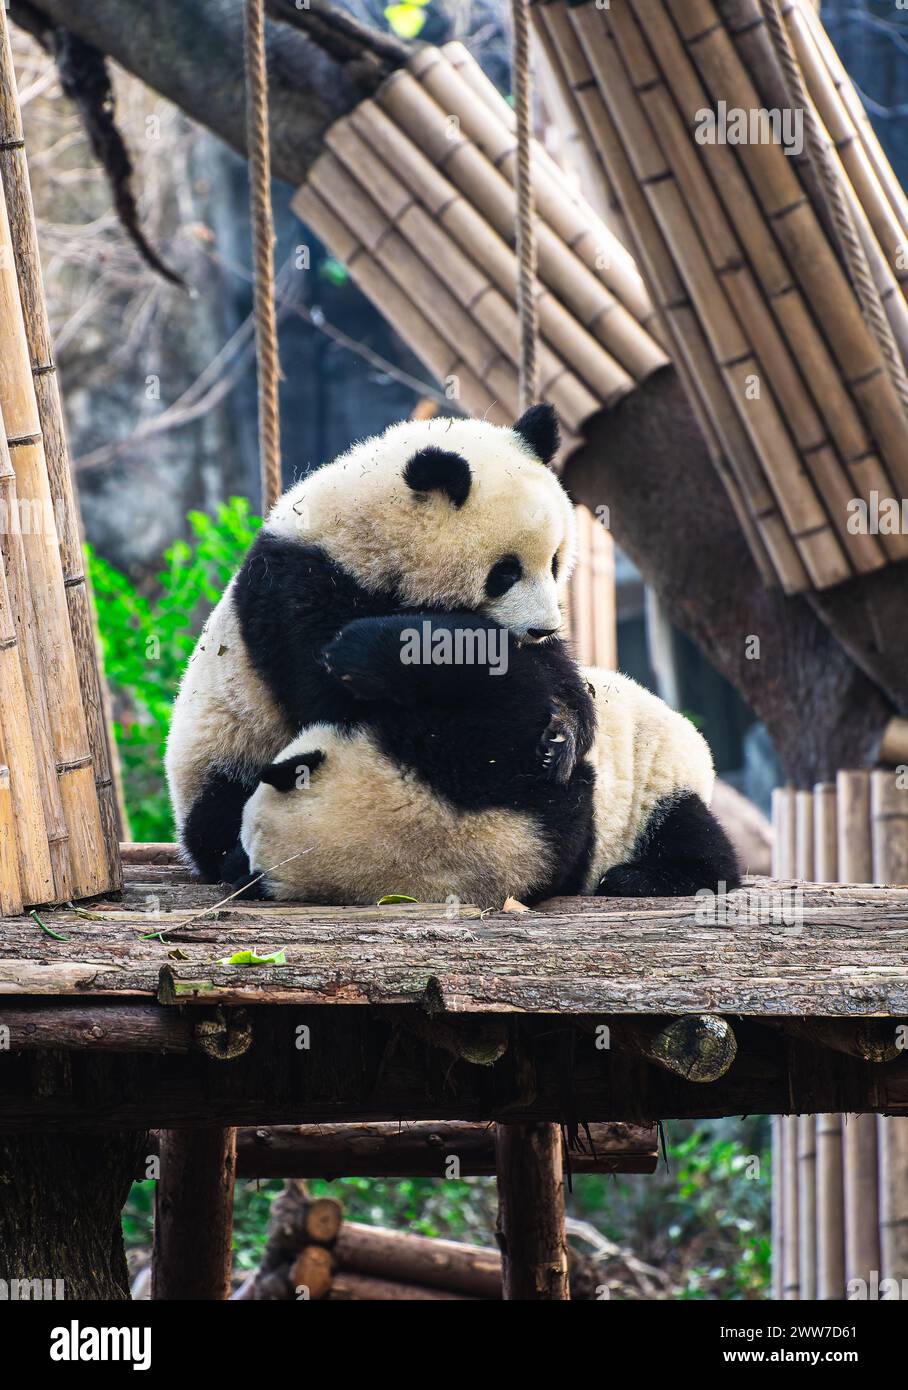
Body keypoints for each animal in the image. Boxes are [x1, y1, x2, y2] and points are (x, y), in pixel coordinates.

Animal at [166, 404, 577, 882]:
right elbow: (343, 701)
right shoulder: (299, 591)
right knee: (218, 808)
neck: (364, 536)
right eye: (505, 572)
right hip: (222, 751)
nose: (542, 629)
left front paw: (561, 731)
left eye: (554, 561)